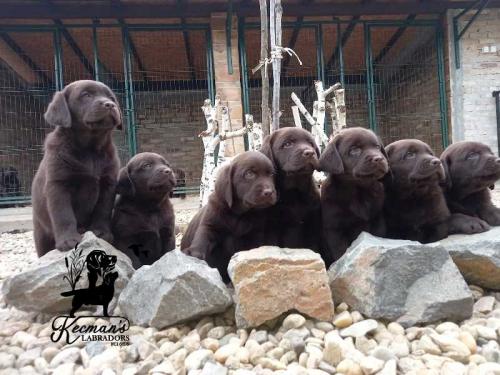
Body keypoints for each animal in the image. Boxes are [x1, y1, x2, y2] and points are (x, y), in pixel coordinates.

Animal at [32, 79, 121, 256]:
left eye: (111, 98)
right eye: (86, 95)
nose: (109, 105)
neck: (90, 149)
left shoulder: (108, 183)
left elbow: (103, 210)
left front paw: (102, 233)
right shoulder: (58, 185)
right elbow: (64, 215)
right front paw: (68, 240)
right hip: (41, 234)